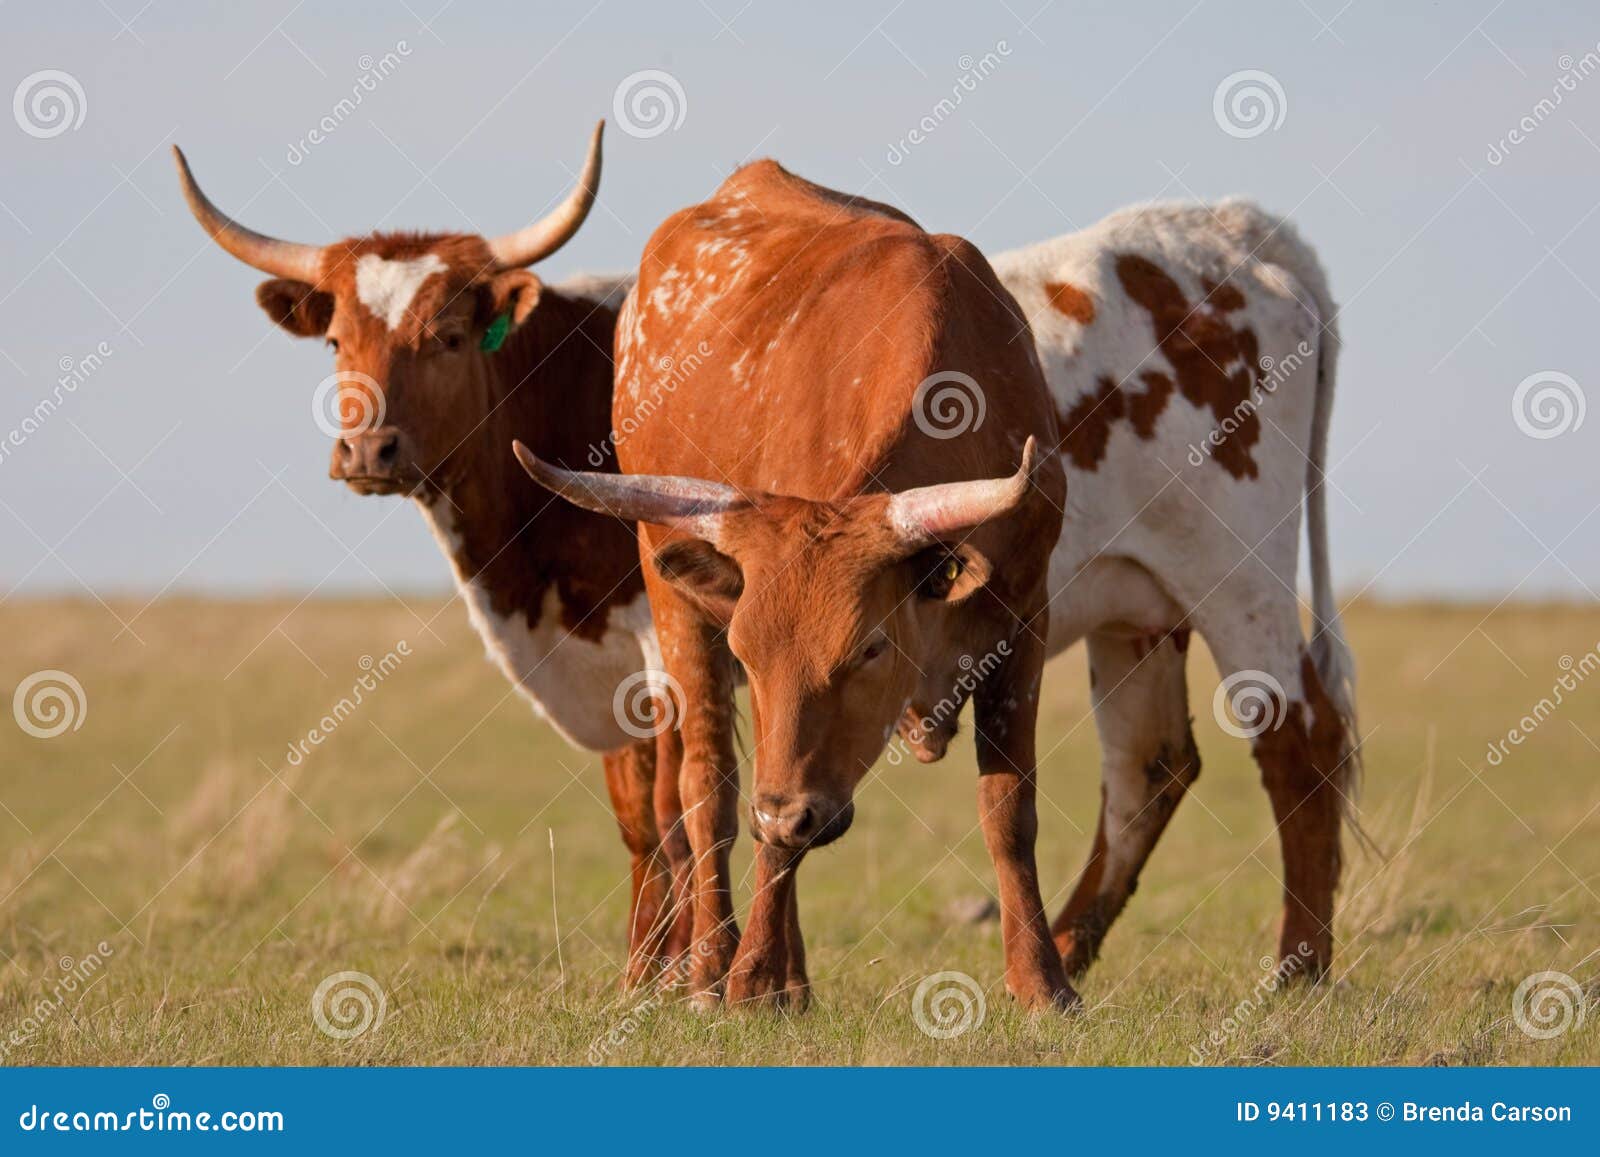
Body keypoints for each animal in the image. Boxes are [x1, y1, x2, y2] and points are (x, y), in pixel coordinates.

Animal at [173, 123, 694, 985]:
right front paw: (642, 977)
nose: (366, 450)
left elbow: (677, 803)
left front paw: (687, 980)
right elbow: (638, 817)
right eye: (335, 340)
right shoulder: (608, 660)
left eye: (448, 339)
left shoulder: (664, 635)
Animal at [514, 161, 1076, 1011]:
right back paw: (717, 967)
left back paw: (791, 979)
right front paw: (746, 981)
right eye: (750, 650)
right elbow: (763, 837)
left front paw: (1043, 981)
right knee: (710, 791)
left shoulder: (1026, 614)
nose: (788, 813)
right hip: (672, 600)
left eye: (870, 648)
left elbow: (1009, 805)